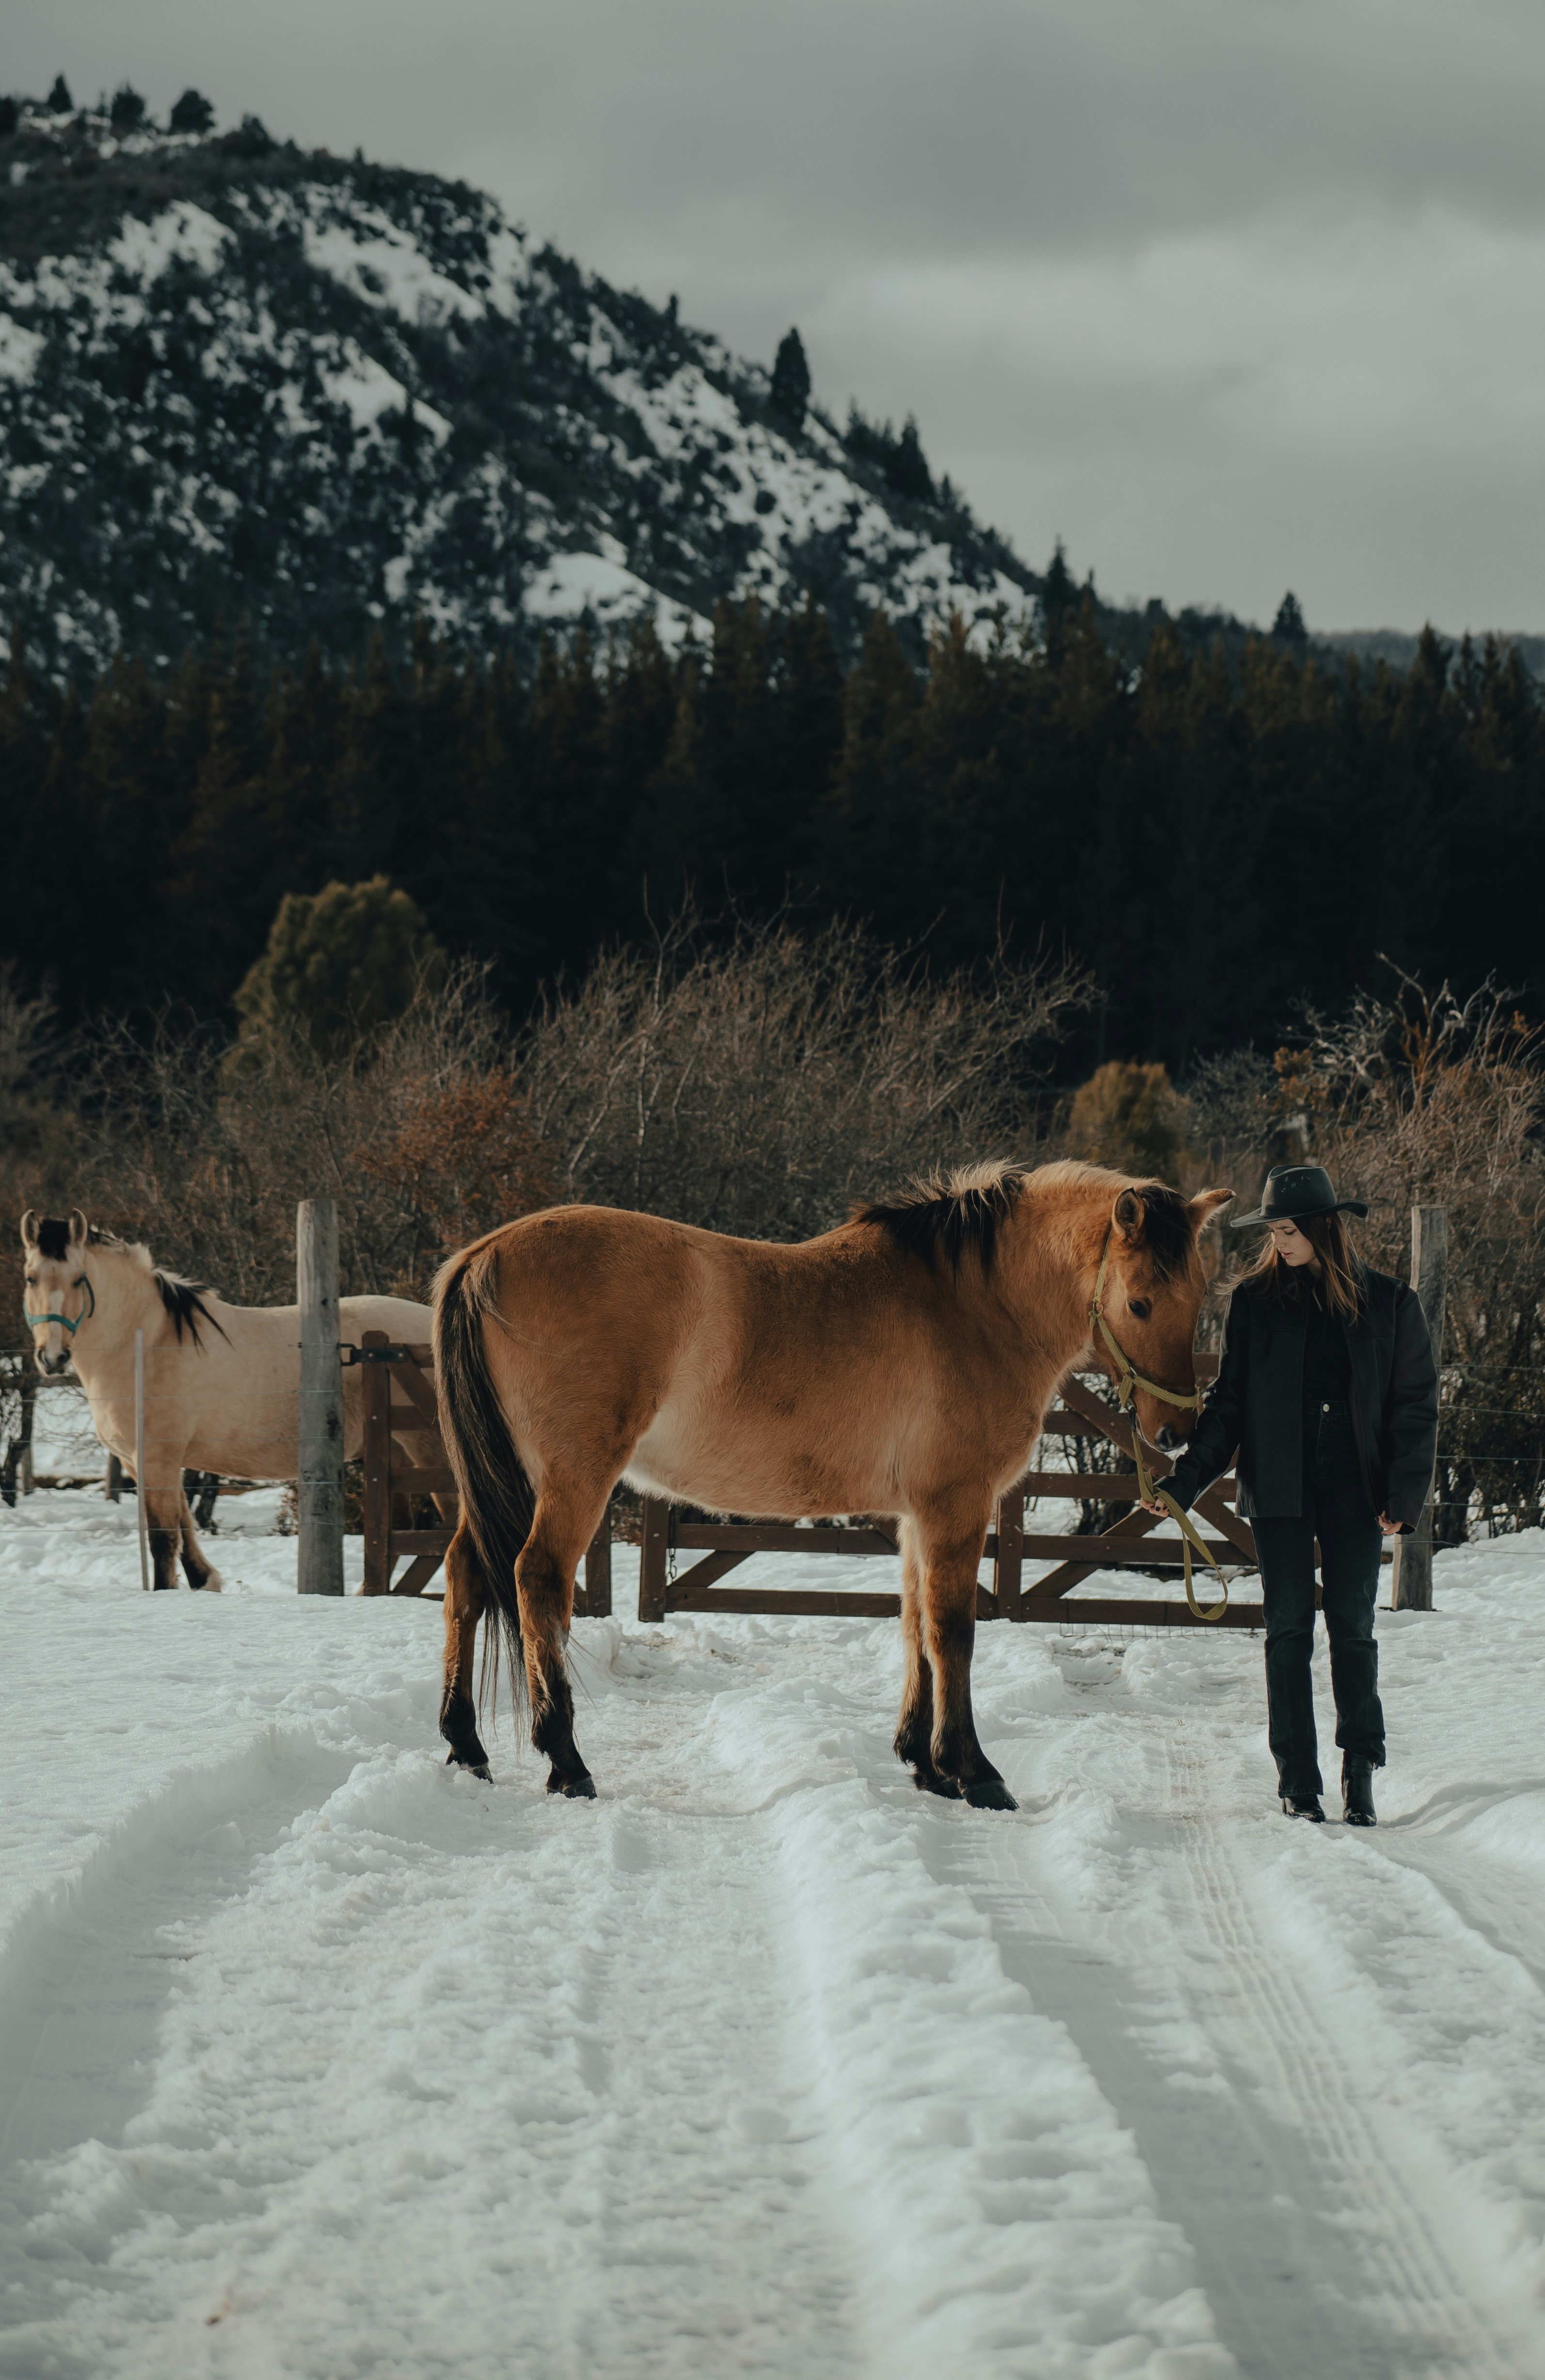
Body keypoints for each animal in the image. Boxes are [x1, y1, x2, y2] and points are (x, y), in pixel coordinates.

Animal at [19, 1211, 443, 1591]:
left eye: (79, 1279)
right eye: (30, 1277)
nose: (52, 1358)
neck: (147, 1344)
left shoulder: (156, 1458)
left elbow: (163, 1539)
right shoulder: (142, 1461)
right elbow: (184, 1526)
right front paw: (203, 1580)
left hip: (429, 1450)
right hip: (394, 1455)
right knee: (400, 1531)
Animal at [431, 1159, 1232, 1806]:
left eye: (1197, 1296)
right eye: (1139, 1301)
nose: (1174, 1431)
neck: (972, 1306)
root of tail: (482, 1255)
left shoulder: (917, 1517)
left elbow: (913, 1622)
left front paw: (923, 1762)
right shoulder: (956, 1506)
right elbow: (953, 1629)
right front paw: (973, 1771)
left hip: (505, 1481)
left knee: (466, 1575)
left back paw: (466, 1746)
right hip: (574, 1477)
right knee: (536, 1579)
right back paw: (566, 1761)